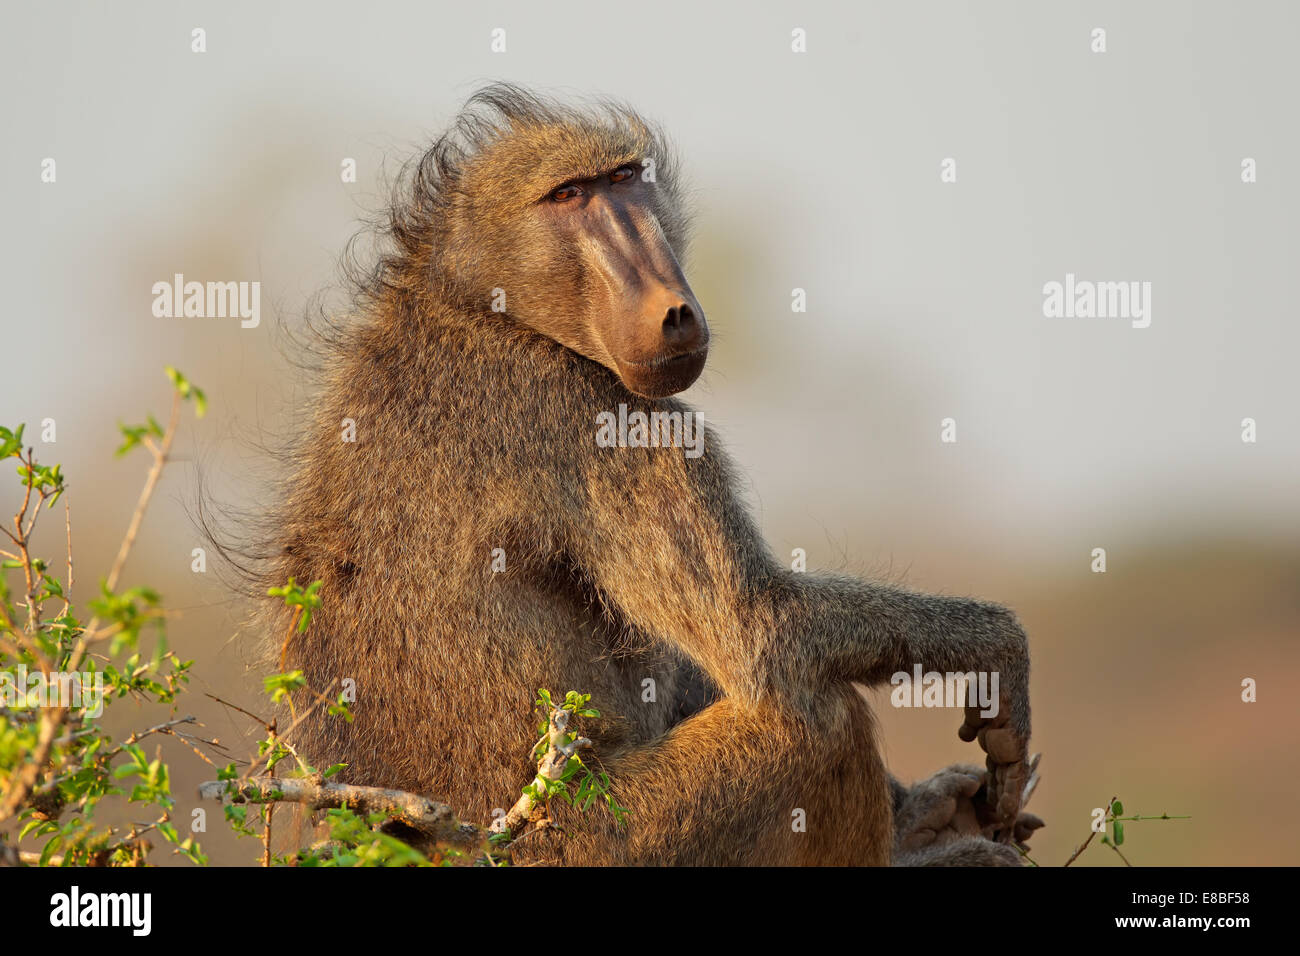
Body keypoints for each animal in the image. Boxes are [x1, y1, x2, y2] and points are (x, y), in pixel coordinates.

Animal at [230, 83, 1041, 865]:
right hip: (596, 841)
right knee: (813, 715)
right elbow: (764, 633)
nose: (673, 312)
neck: (477, 304)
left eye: (622, 180)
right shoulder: (604, 417)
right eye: (567, 196)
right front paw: (997, 651)